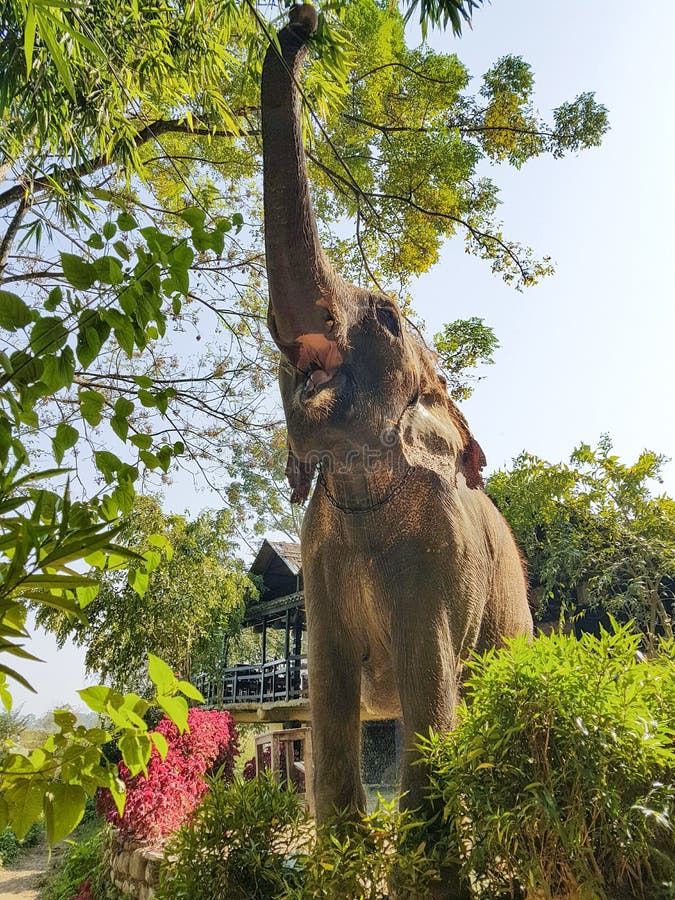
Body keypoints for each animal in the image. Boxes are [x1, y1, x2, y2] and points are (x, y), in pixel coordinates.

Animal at [261, 0, 533, 871]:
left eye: (382, 317)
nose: (306, 18)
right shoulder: (317, 560)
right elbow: (328, 698)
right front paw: (341, 860)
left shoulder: (441, 560)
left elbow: (428, 689)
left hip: (512, 610)